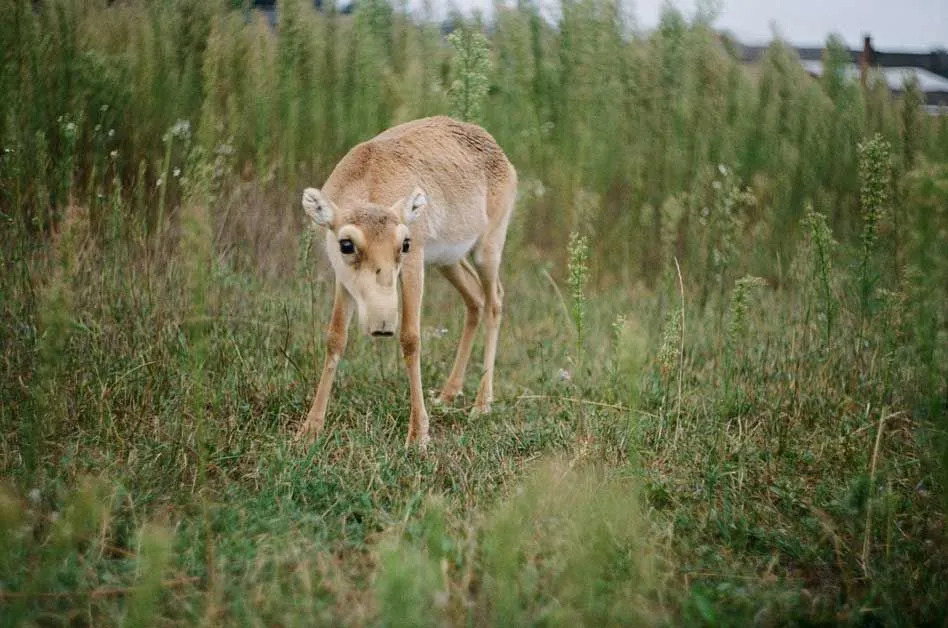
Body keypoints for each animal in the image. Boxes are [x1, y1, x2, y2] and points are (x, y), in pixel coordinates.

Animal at [298, 115, 516, 448]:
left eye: (405, 243)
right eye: (346, 244)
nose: (382, 325)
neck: (369, 179)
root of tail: (493, 144)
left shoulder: (414, 267)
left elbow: (411, 338)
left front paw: (418, 434)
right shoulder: (343, 280)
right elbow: (335, 338)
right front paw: (310, 428)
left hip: (487, 249)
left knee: (495, 302)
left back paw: (481, 404)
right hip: (448, 262)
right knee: (475, 300)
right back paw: (448, 394)